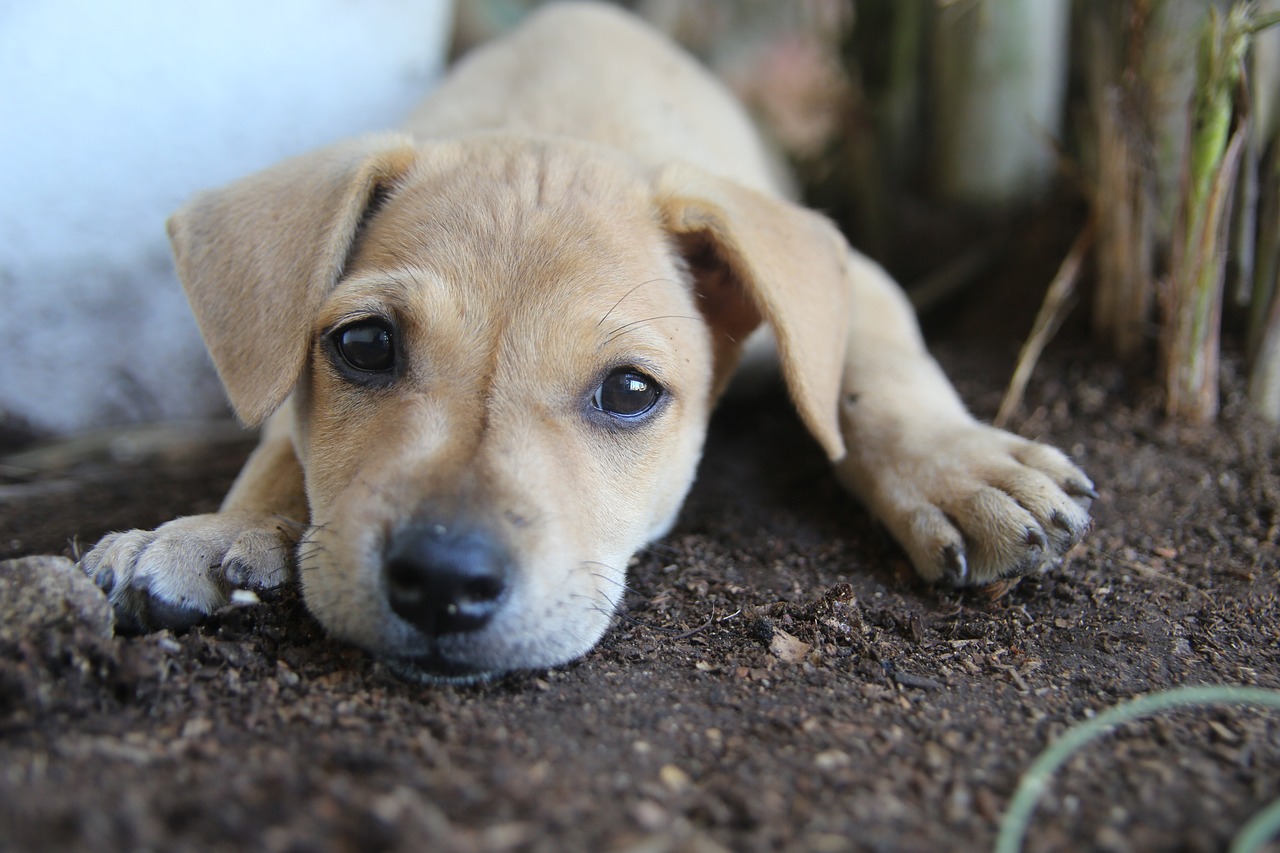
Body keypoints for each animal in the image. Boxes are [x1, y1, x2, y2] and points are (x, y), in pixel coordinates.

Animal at [82, 1, 1100, 676]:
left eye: (630, 391)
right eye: (364, 346)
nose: (442, 582)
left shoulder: (854, 281)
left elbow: (873, 371)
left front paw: (962, 469)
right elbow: (279, 438)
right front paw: (222, 527)